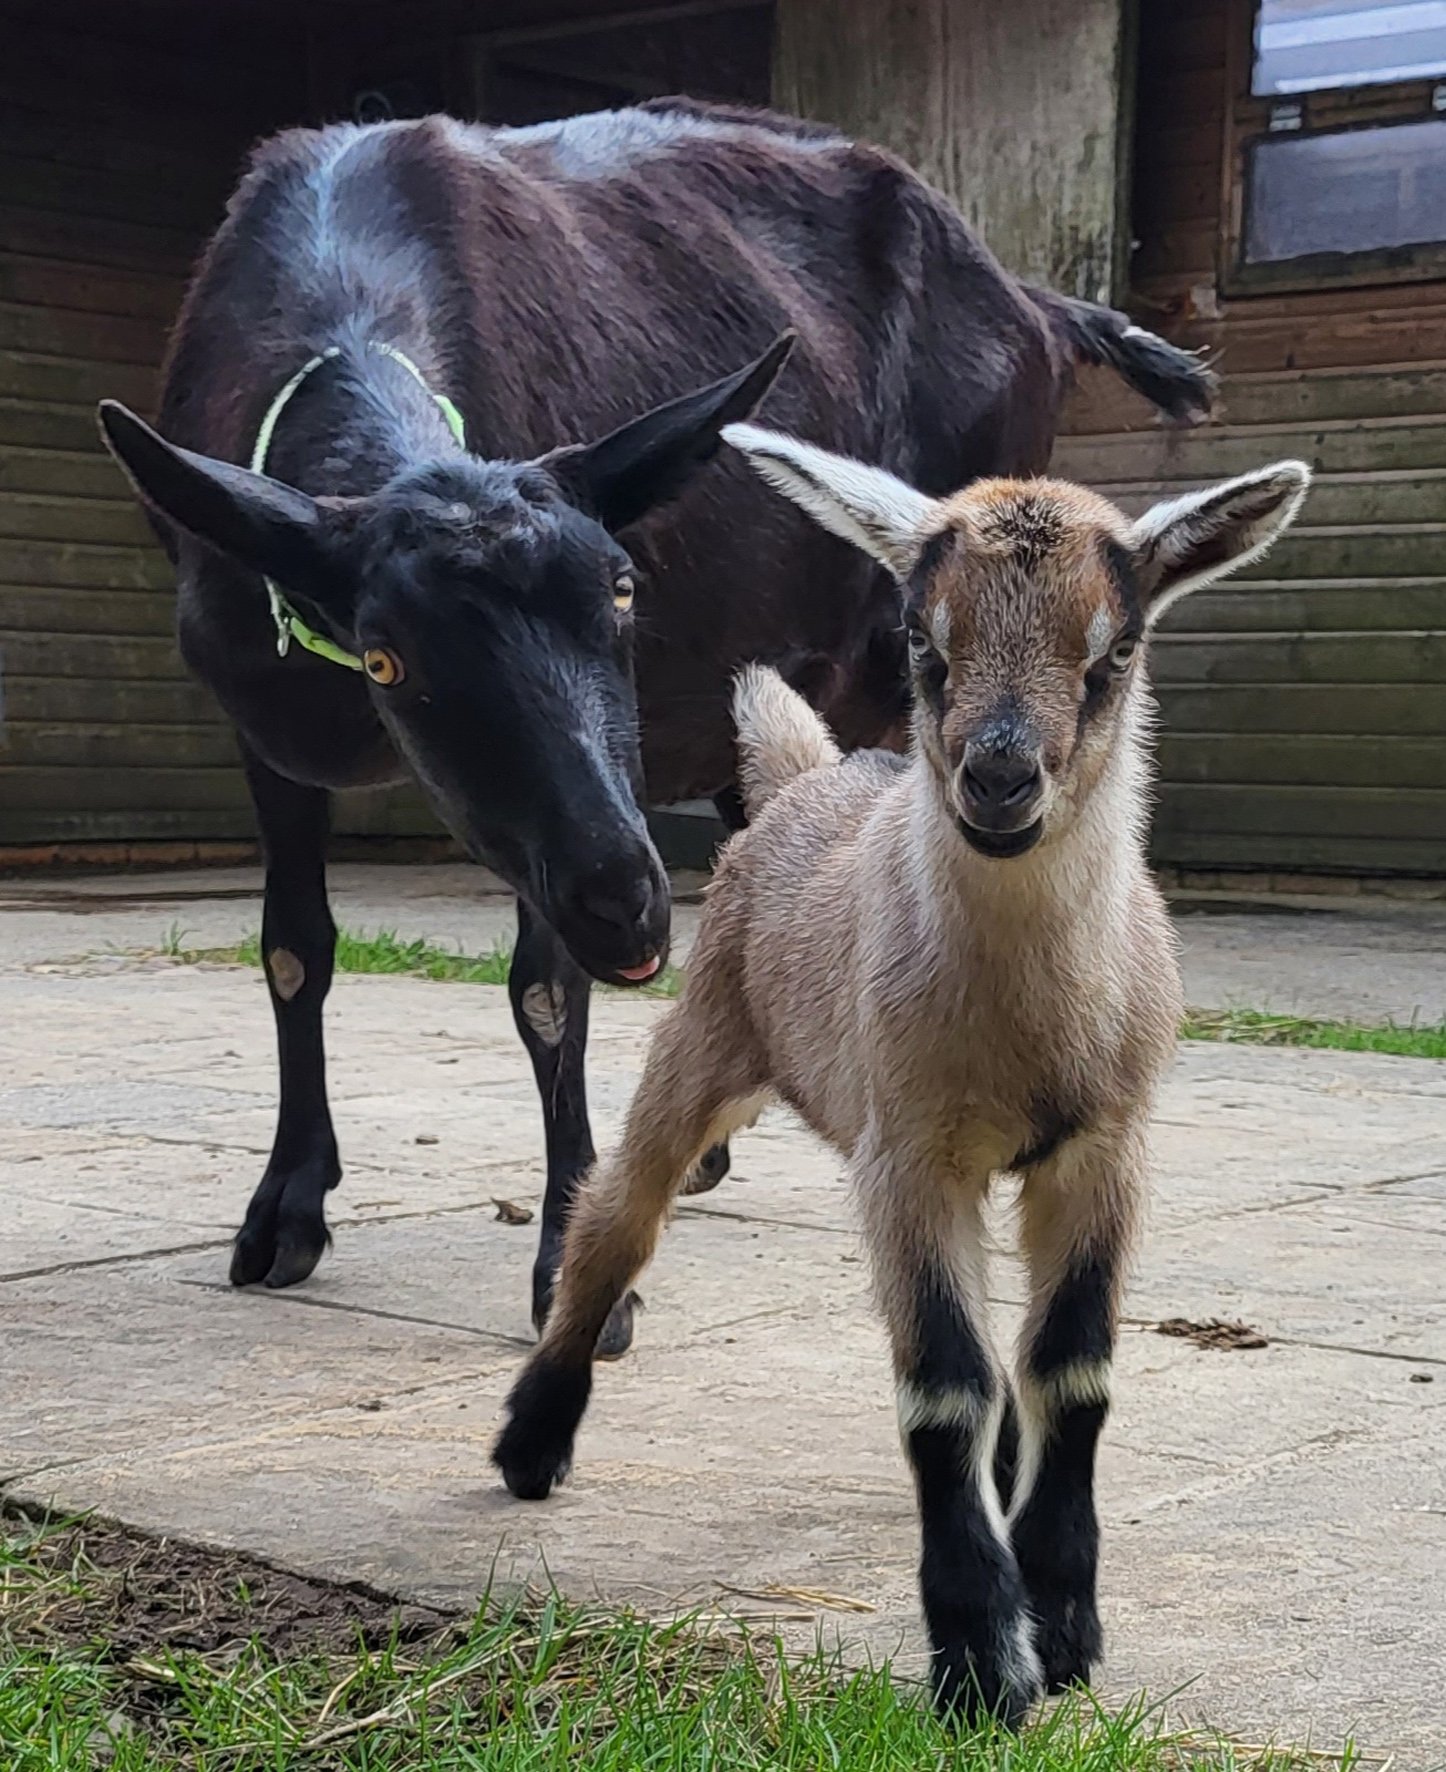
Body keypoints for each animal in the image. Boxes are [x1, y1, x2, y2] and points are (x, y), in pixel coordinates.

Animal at [493, 434, 1310, 1724]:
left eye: (1113, 653)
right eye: (924, 644)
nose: (999, 779)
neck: (1029, 1014)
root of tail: (801, 780)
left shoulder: (1105, 1145)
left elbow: (1071, 1365)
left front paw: (1062, 1620)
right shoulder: (910, 1155)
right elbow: (944, 1382)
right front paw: (980, 1654)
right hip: (702, 1046)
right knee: (613, 1217)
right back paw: (532, 1440)